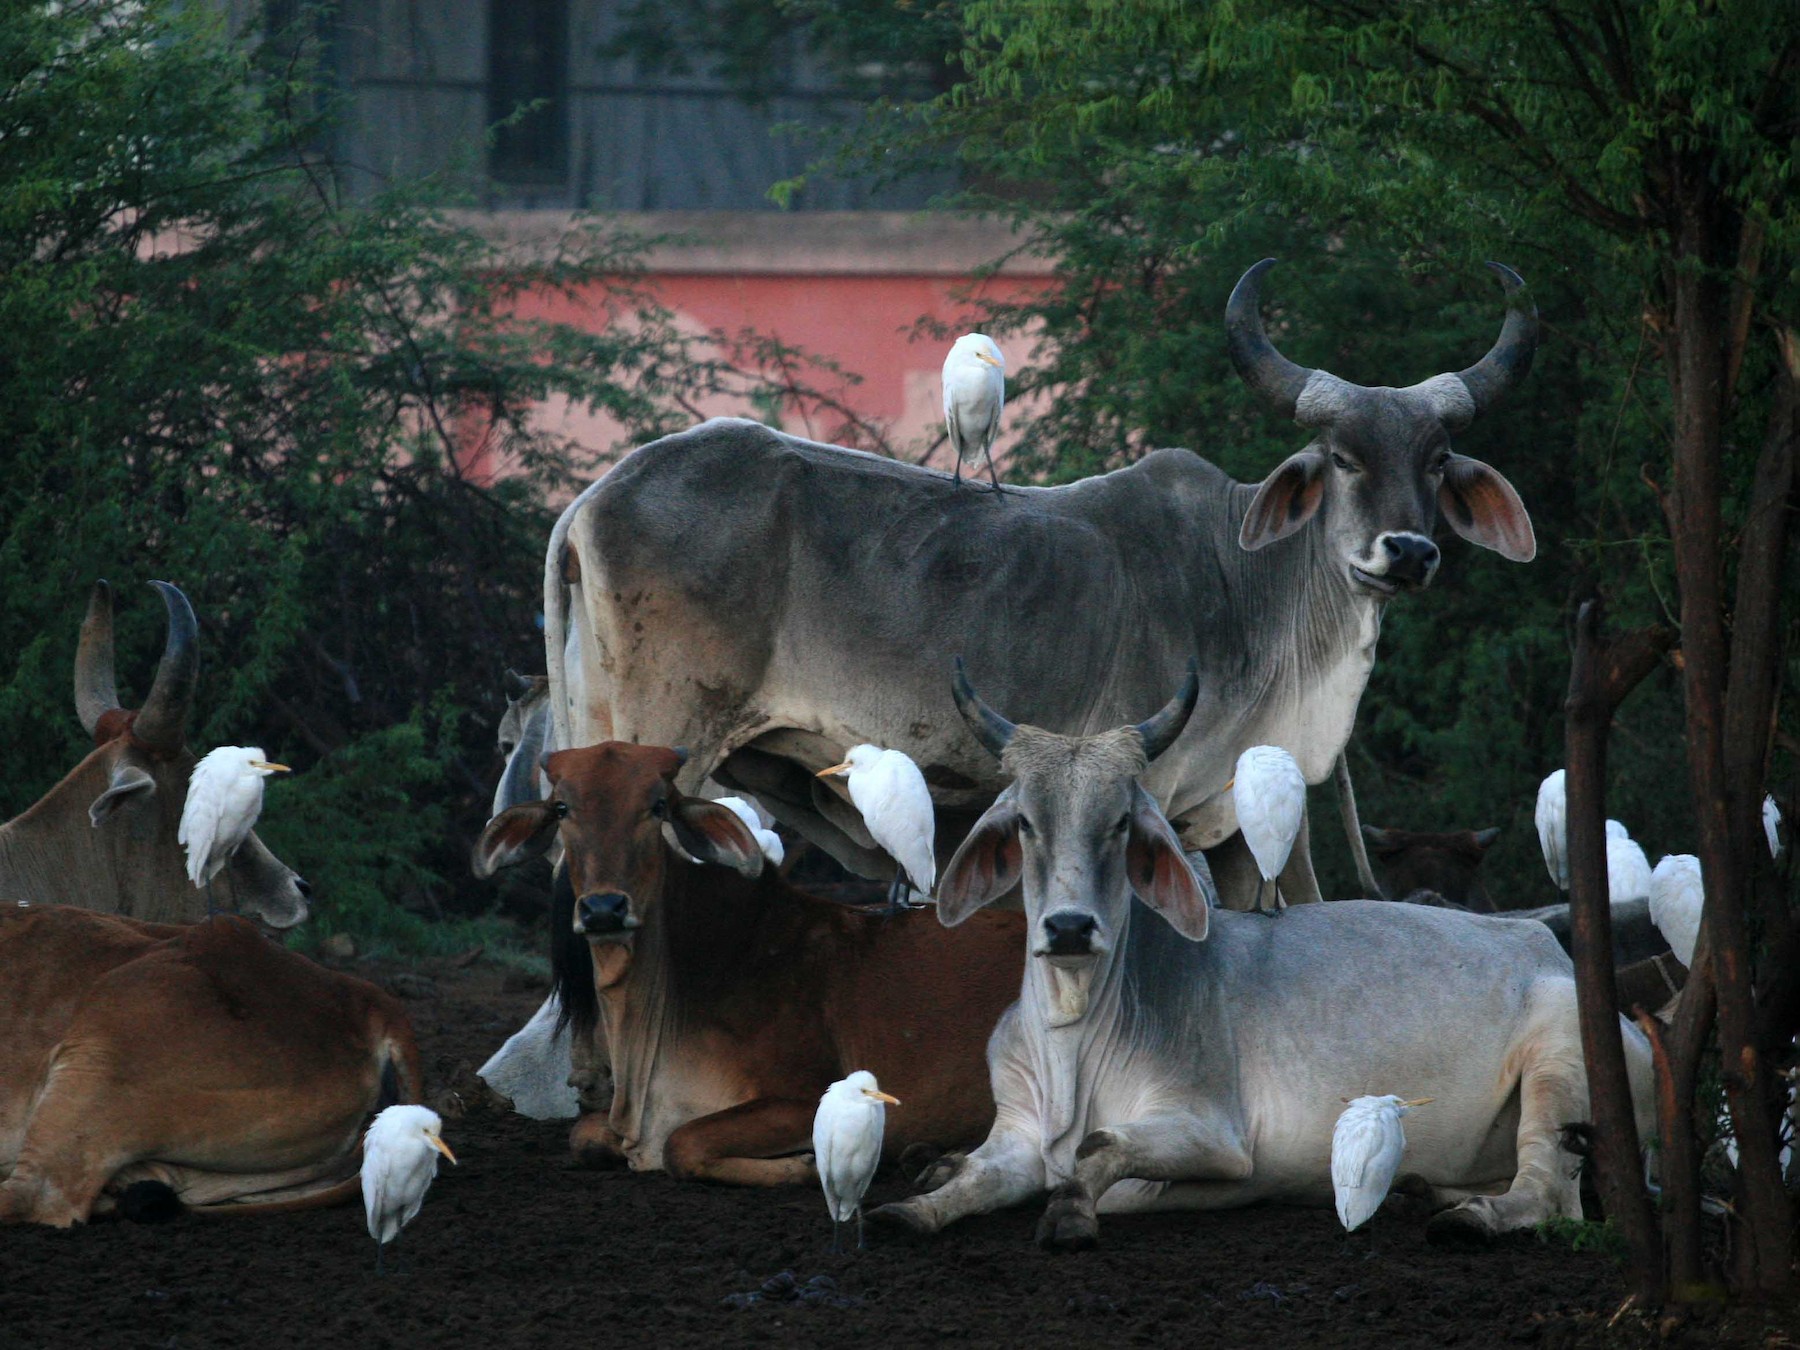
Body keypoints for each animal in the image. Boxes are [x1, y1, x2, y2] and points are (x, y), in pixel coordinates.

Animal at [473, 741, 1023, 1182]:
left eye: (657, 806)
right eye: (562, 807)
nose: (603, 908)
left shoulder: (808, 1095)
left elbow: (681, 1144)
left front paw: (804, 1165)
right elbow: (584, 1135)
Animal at [543, 260, 1540, 912]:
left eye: (1437, 459)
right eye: (1339, 458)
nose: (1406, 552)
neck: (1247, 586)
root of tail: (592, 497)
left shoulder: (1239, 822)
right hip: (667, 738)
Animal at [870, 666, 1653, 1249]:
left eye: (1120, 822)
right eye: (1027, 824)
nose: (1067, 928)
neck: (1072, 1033)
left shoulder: (1208, 1130)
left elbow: (1098, 1155)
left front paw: (1072, 1212)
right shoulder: (1015, 1135)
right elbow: (973, 1177)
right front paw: (913, 1205)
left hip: (1563, 1056)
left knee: (1548, 1193)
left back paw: (1471, 1218)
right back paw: (1418, 1190)